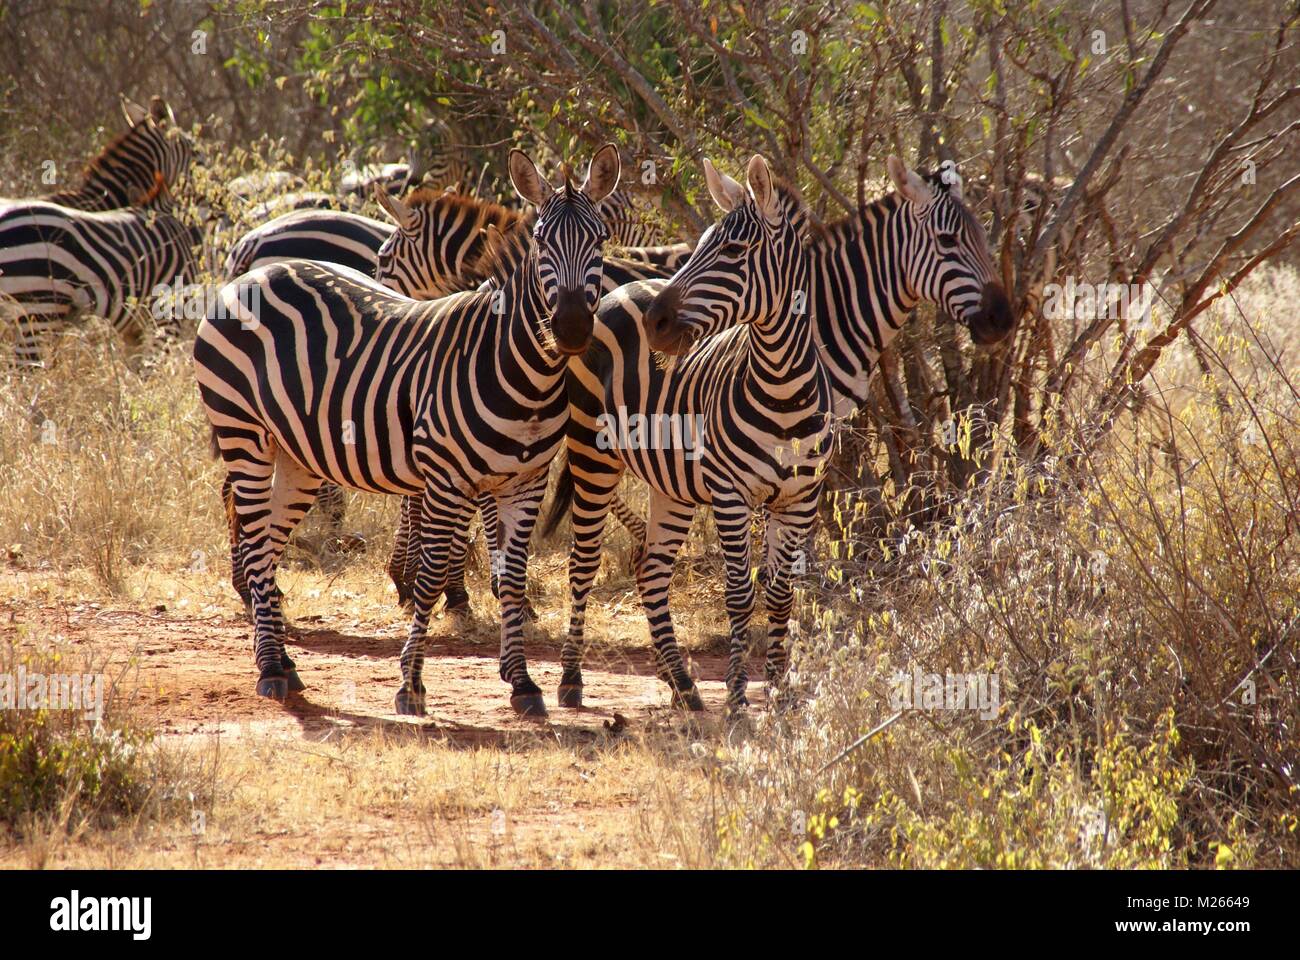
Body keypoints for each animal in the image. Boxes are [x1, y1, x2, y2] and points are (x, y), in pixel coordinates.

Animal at [194, 145, 621, 717]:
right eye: (541, 243)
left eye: (601, 240)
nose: (572, 328)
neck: (522, 371)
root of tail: (251, 274)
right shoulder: (446, 480)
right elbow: (431, 574)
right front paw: (411, 683)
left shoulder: (525, 483)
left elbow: (512, 579)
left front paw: (523, 683)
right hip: (243, 433)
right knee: (256, 540)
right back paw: (269, 669)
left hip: (296, 455)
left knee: (268, 544)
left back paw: (283, 662)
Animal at [544, 155, 1015, 710]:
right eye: (948, 240)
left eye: (979, 237)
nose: (1003, 317)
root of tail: (614, 292)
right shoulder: (744, 483)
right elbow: (754, 585)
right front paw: (745, 688)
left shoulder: (799, 481)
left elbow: (781, 582)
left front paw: (776, 683)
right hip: (593, 452)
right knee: (585, 558)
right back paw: (572, 680)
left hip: (669, 478)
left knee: (650, 567)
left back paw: (680, 681)